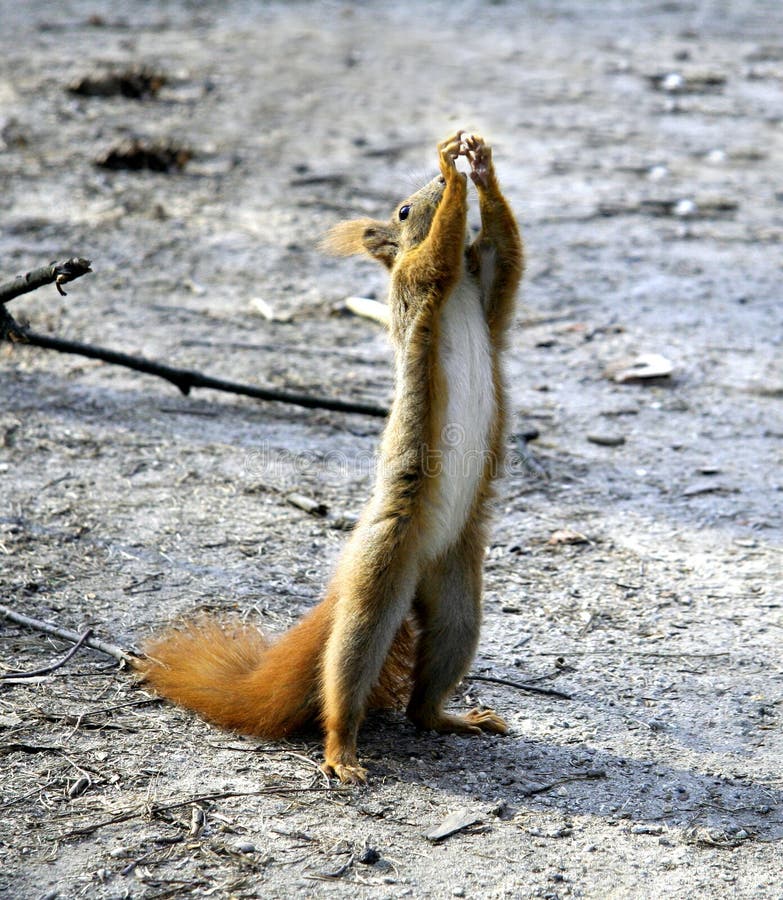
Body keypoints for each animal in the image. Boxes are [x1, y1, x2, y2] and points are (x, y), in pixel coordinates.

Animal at [136, 131, 524, 783]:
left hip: (457, 598)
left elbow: (507, 253)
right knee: (345, 672)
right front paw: (453, 175)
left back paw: (451, 718)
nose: (440, 182)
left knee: (426, 693)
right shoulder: (416, 285)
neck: (460, 296)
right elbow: (434, 256)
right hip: (381, 577)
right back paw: (341, 752)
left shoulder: (488, 284)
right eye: (402, 211)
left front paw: (482, 167)